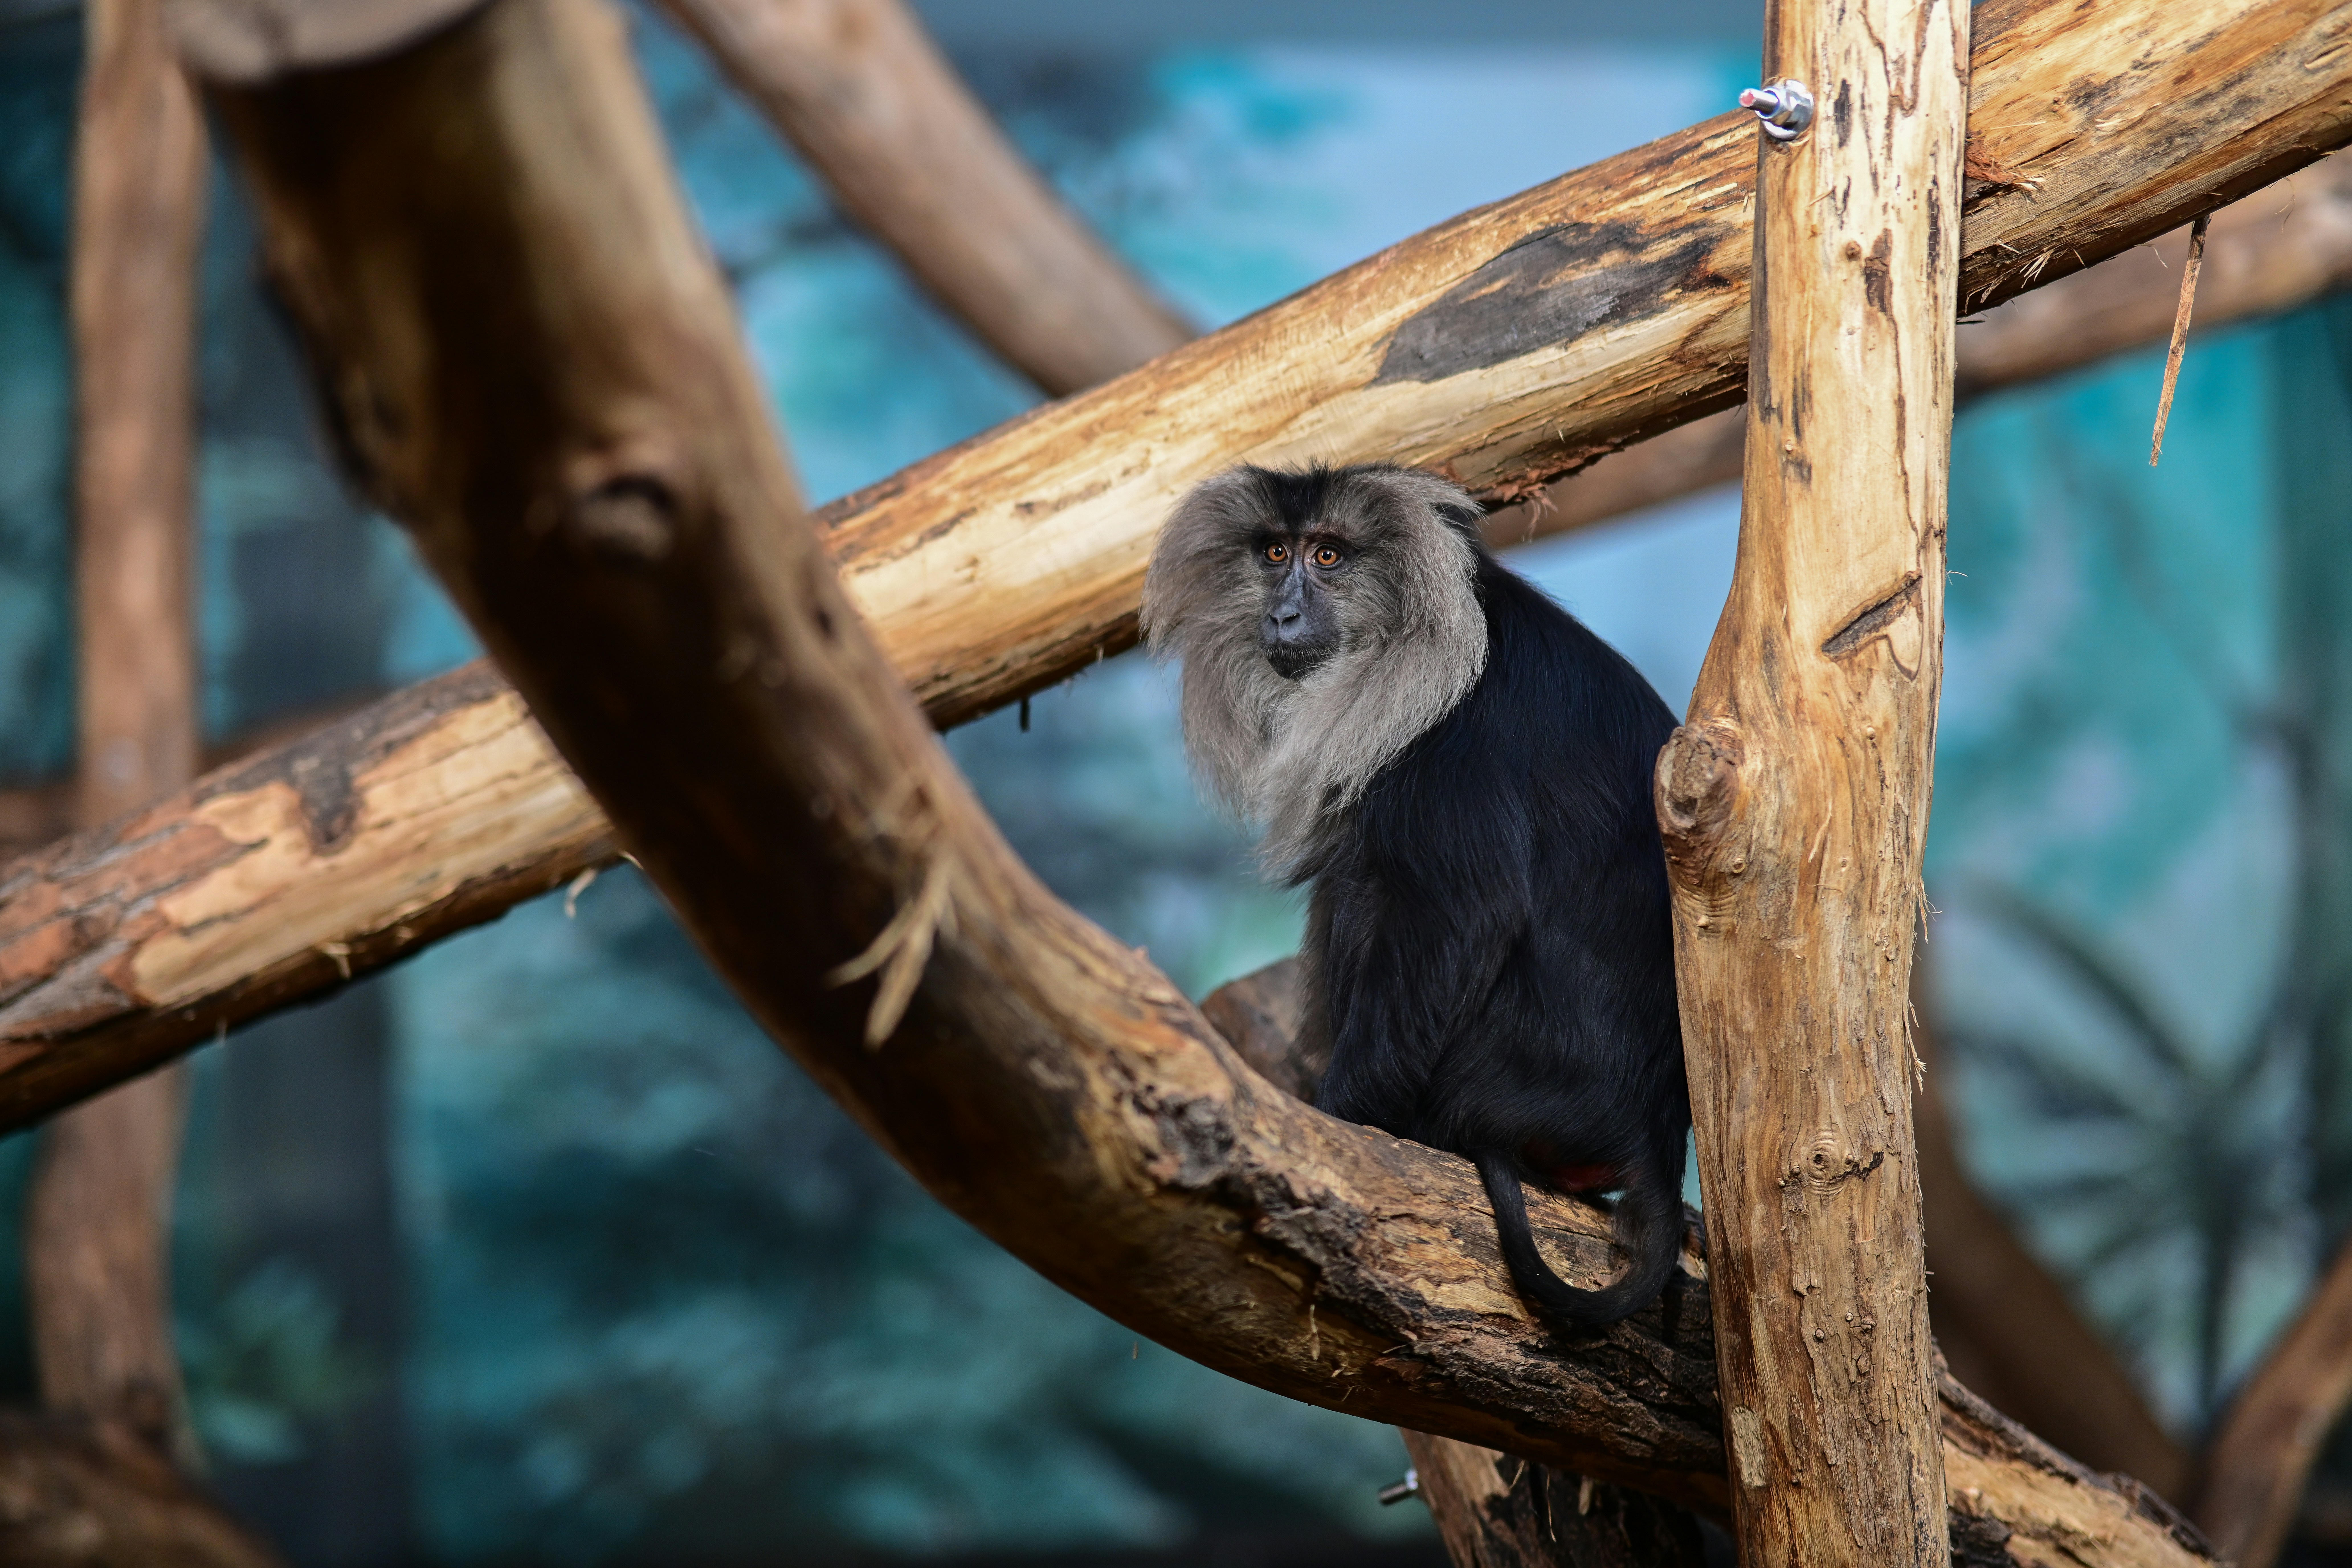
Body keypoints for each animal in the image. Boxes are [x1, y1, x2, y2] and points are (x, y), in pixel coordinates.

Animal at [1142, 463, 1688, 1328]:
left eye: (1329, 556)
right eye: (1274, 553)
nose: (1283, 613)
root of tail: (1658, 1142)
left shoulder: (1454, 739)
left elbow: (1463, 917)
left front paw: (1342, 1118)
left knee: (1362, 884)